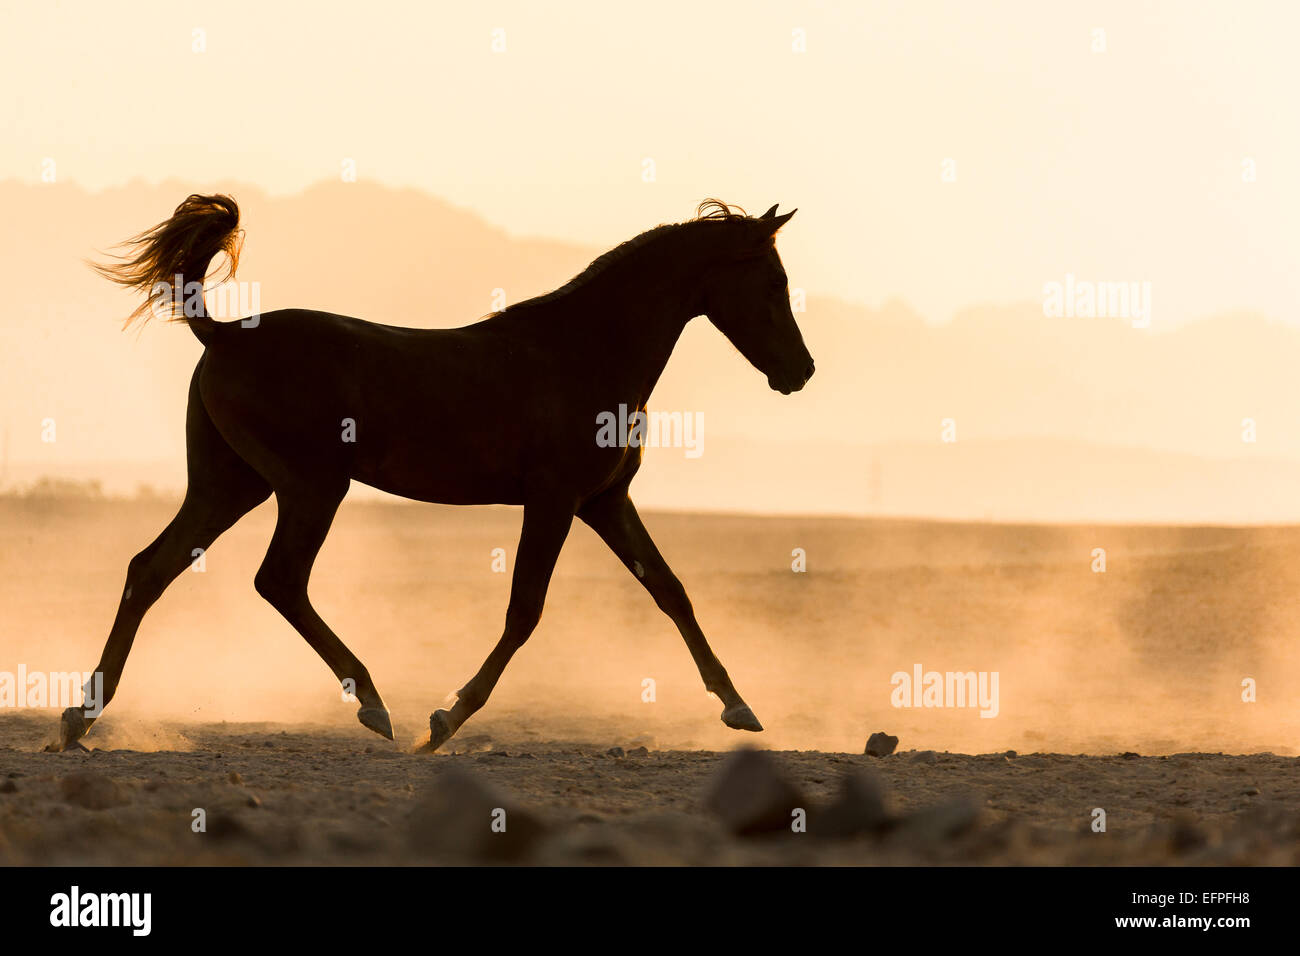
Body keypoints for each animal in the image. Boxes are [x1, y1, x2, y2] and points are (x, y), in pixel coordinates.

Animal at [48, 194, 814, 753]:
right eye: (773, 282)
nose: (800, 371)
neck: (584, 352)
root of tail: (223, 333)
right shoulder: (555, 499)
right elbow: (525, 611)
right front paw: (444, 722)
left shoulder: (604, 501)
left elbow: (671, 591)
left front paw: (739, 707)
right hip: (308, 487)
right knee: (278, 580)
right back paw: (376, 706)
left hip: (231, 485)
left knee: (152, 568)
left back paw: (79, 719)